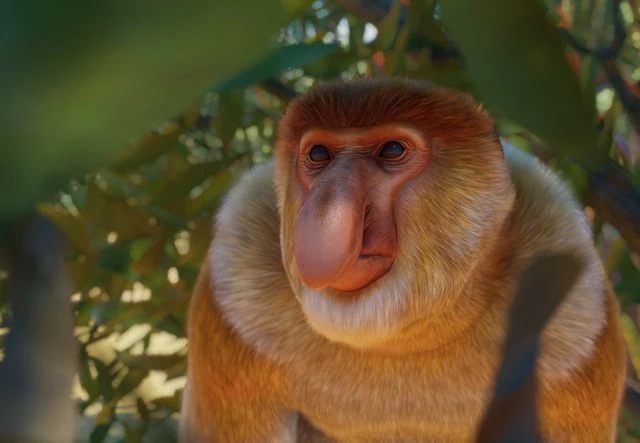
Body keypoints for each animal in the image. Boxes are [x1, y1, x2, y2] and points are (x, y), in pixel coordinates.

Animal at [178, 78, 627, 442]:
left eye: (392, 150)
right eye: (319, 154)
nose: (326, 207)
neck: (400, 340)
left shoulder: (574, 310)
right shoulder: (236, 281)